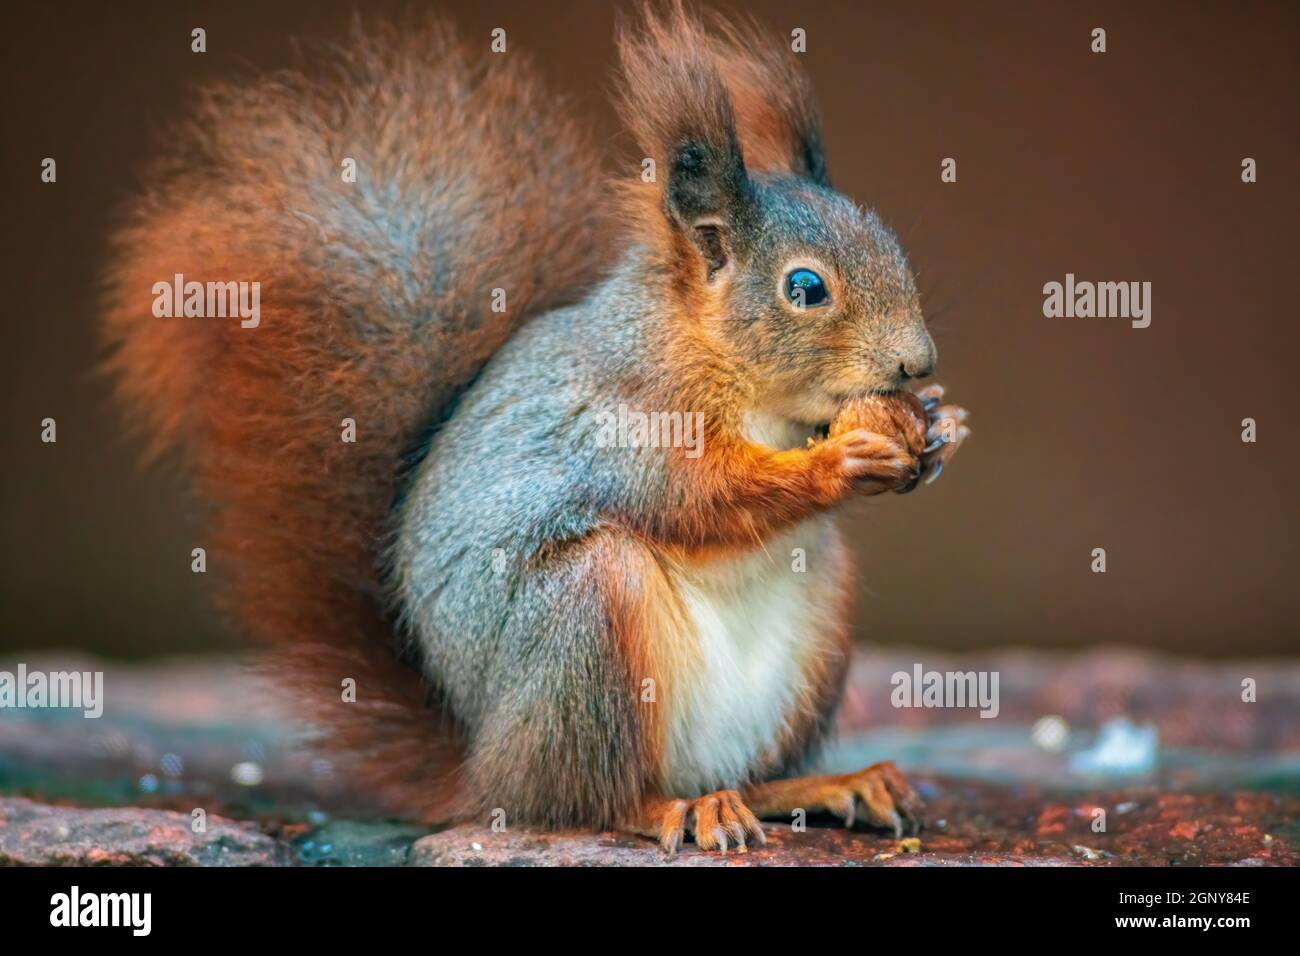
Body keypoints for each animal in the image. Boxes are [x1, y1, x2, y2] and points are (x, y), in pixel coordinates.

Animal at [103, 4, 969, 854]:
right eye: (805, 288)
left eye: (888, 243)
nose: (917, 361)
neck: (740, 375)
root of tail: (485, 768)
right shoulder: (632, 418)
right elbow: (698, 497)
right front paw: (839, 461)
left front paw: (939, 424)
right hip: (583, 624)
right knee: (584, 801)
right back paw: (674, 810)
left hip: (816, 621)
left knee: (743, 776)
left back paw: (828, 785)